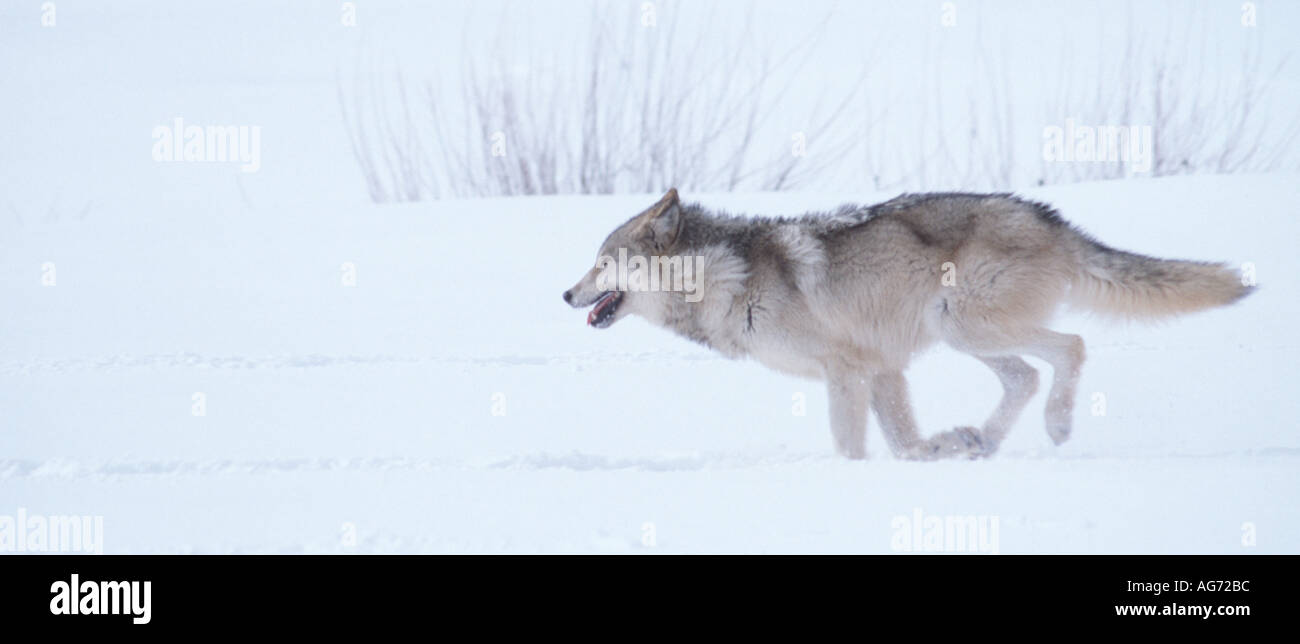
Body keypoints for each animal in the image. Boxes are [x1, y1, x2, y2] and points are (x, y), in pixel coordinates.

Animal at [563, 189, 1253, 460]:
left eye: (602, 261)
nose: (566, 293)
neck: (725, 275)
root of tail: (1048, 216)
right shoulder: (881, 368)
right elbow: (903, 442)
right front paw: (940, 450)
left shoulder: (847, 371)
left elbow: (852, 444)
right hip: (960, 332)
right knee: (1025, 377)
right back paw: (983, 441)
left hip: (965, 325)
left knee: (1071, 347)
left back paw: (1056, 426)